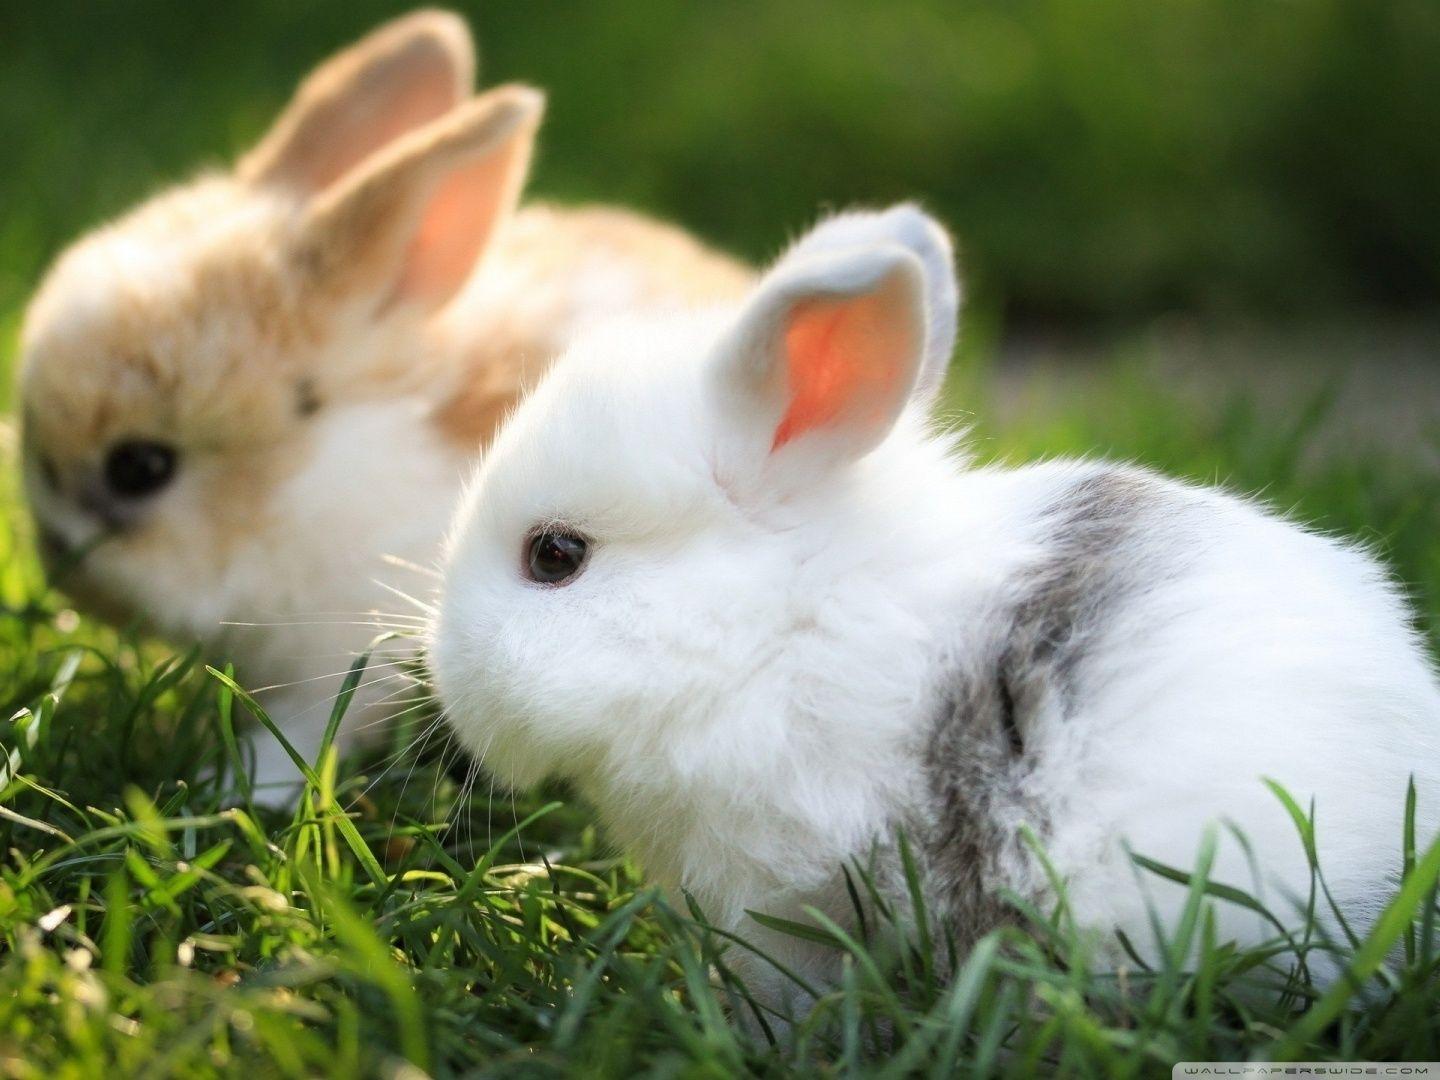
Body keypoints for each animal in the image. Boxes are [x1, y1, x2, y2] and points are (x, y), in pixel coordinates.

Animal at [16, 10, 751, 800]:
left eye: (140, 467)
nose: (61, 566)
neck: (309, 479)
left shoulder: (350, 657)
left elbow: (309, 731)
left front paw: (231, 787)